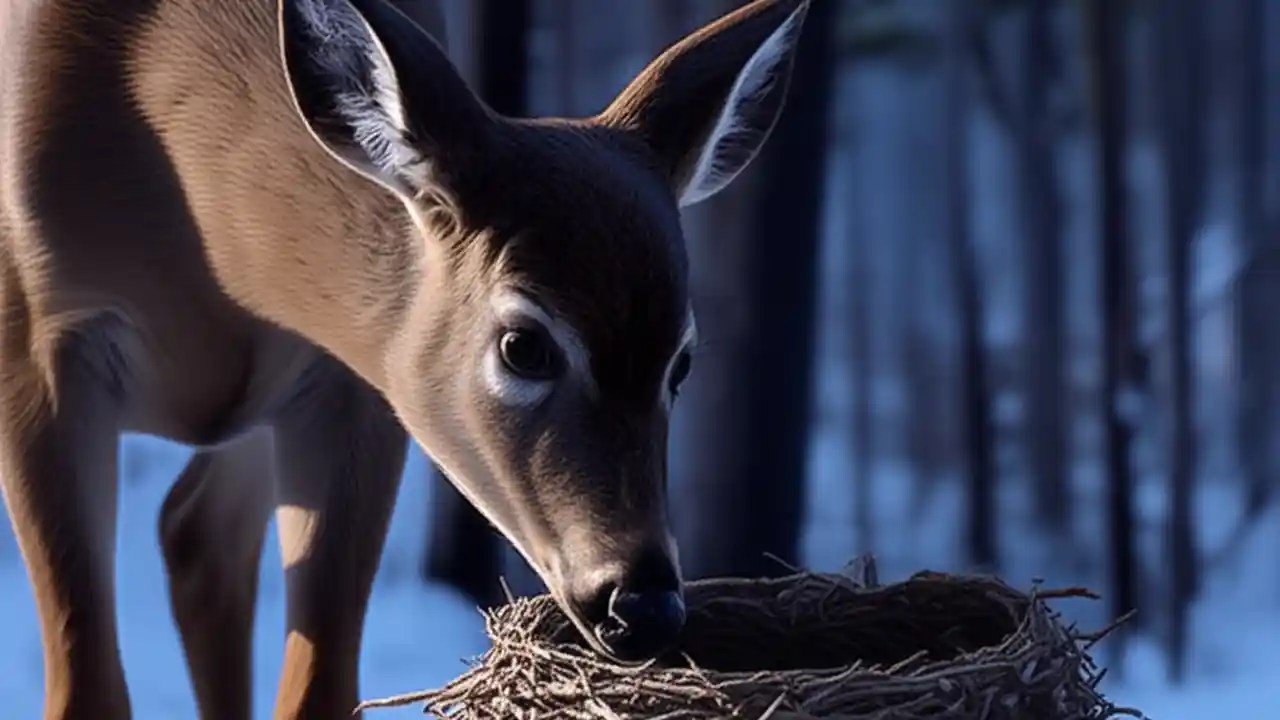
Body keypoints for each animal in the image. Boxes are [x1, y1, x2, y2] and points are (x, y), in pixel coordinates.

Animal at [0, 0, 811, 717]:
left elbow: (319, 694)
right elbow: (85, 696)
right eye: (524, 345)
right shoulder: (40, 351)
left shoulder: (357, 377)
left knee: (197, 532)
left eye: (681, 361)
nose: (643, 603)